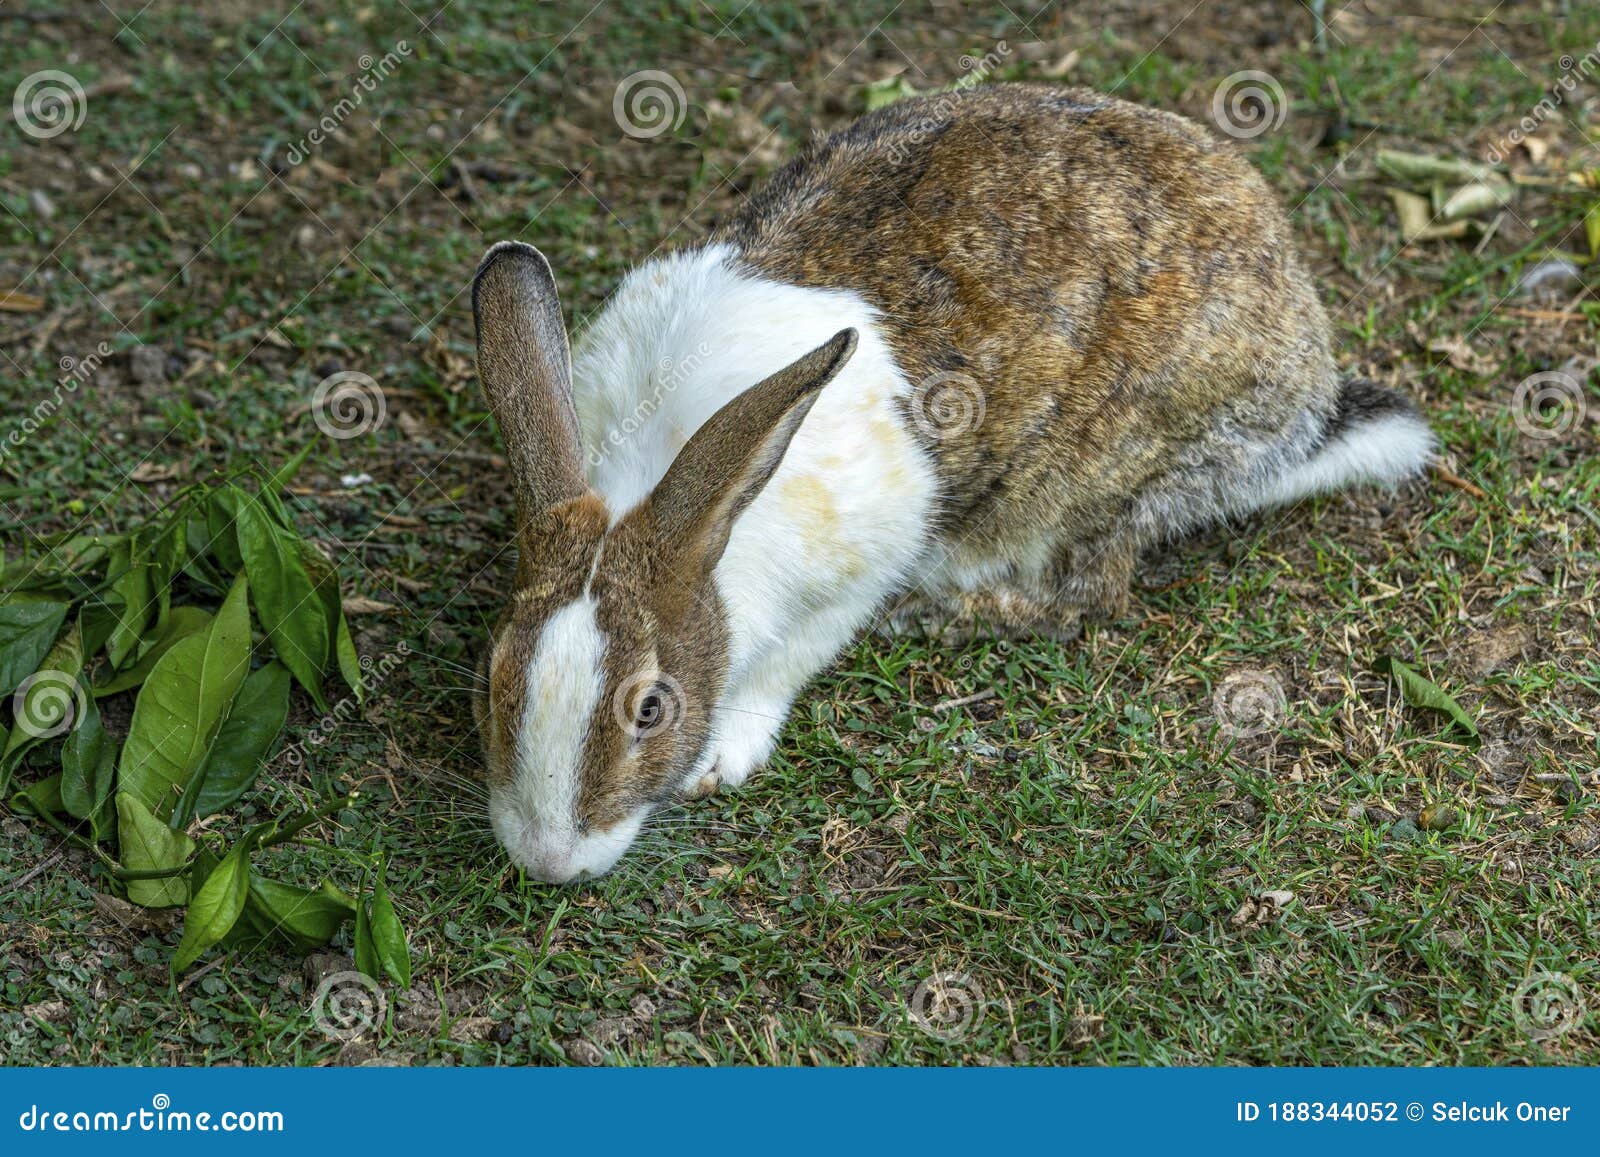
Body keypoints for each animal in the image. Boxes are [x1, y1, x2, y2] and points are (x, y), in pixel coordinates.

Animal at [470, 83, 1433, 883]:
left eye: (652, 709)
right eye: (495, 673)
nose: (549, 862)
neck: (684, 496)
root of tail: (1307, 400)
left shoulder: (854, 573)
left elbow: (784, 663)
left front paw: (722, 758)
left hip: (1102, 484)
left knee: (1090, 594)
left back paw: (949, 612)